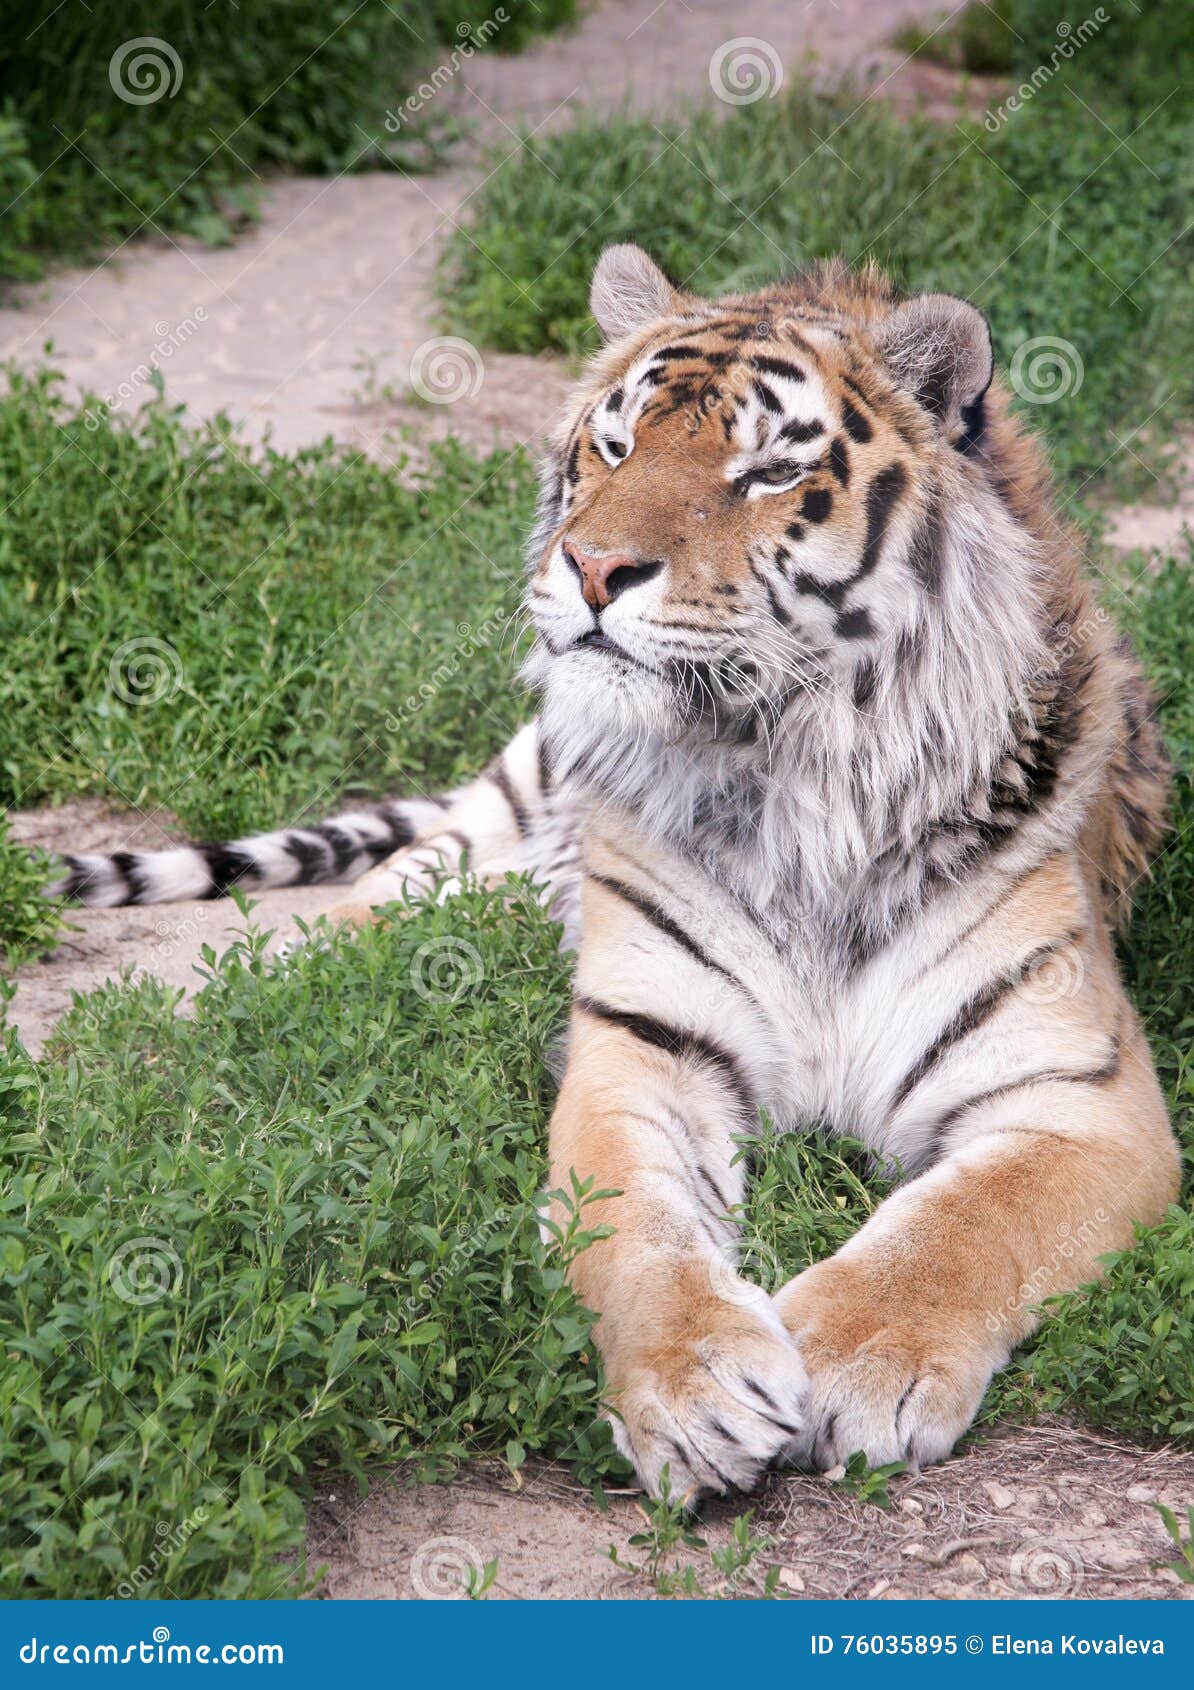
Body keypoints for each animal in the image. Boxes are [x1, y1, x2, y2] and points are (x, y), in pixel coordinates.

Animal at [53, 243, 1181, 1502]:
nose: (592, 568)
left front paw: (860, 1358)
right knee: (376, 899)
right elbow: (632, 1232)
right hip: (497, 804)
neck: (795, 777)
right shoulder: (640, 1047)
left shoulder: (1080, 1094)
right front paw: (691, 1389)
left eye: (770, 471)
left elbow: (963, 1224)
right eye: (615, 444)